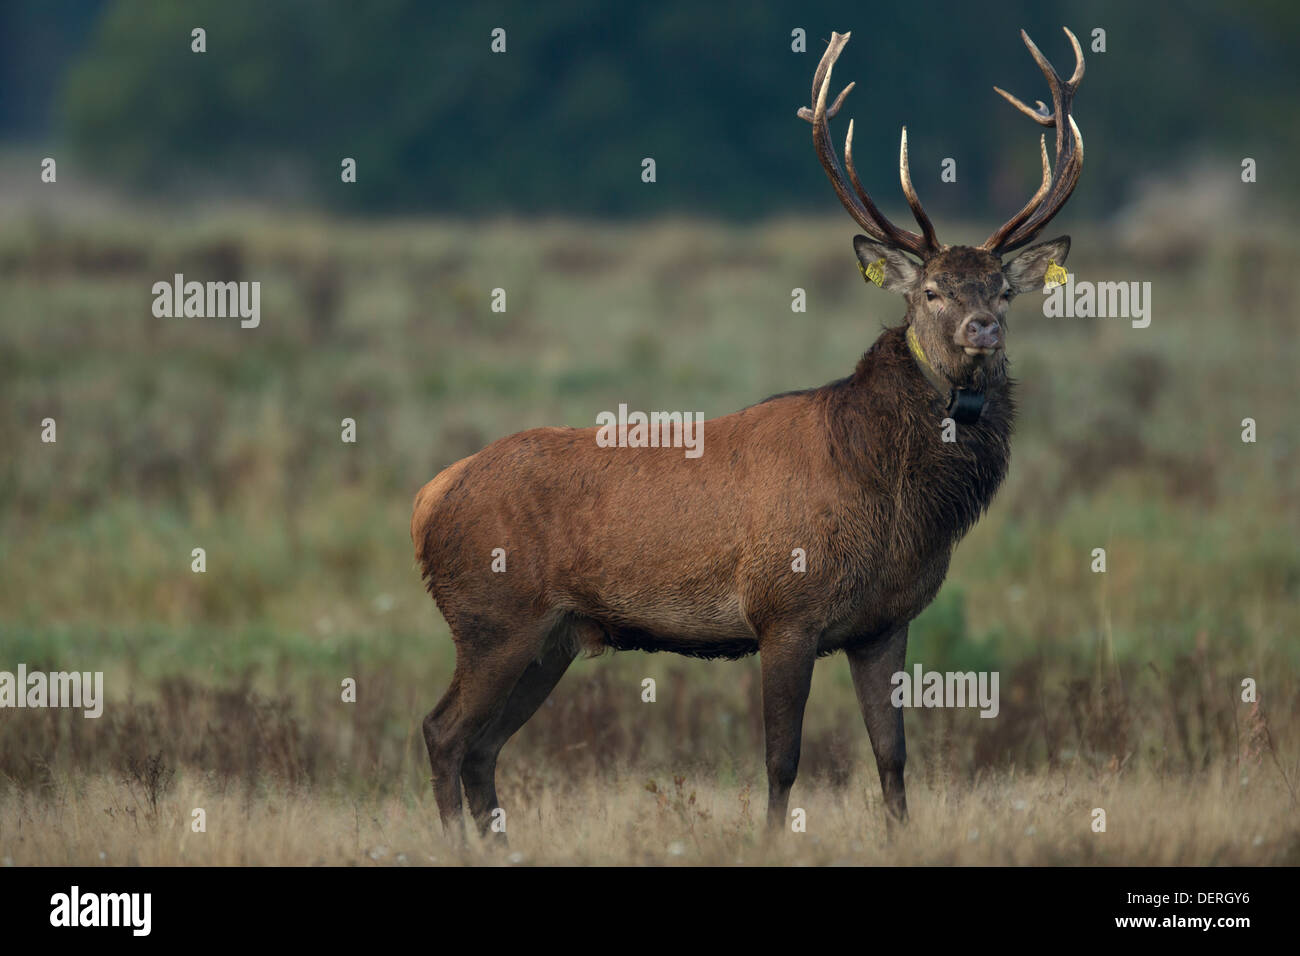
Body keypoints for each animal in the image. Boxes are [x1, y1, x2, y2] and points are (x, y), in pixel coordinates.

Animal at [412, 27, 1084, 838]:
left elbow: (892, 757)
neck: (893, 503)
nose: (983, 328)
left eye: (1004, 289)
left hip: (553, 638)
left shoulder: (884, 624)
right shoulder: (784, 610)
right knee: (444, 733)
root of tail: (426, 499)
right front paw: (771, 839)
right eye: (931, 292)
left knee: (483, 748)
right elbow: (782, 761)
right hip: (492, 618)